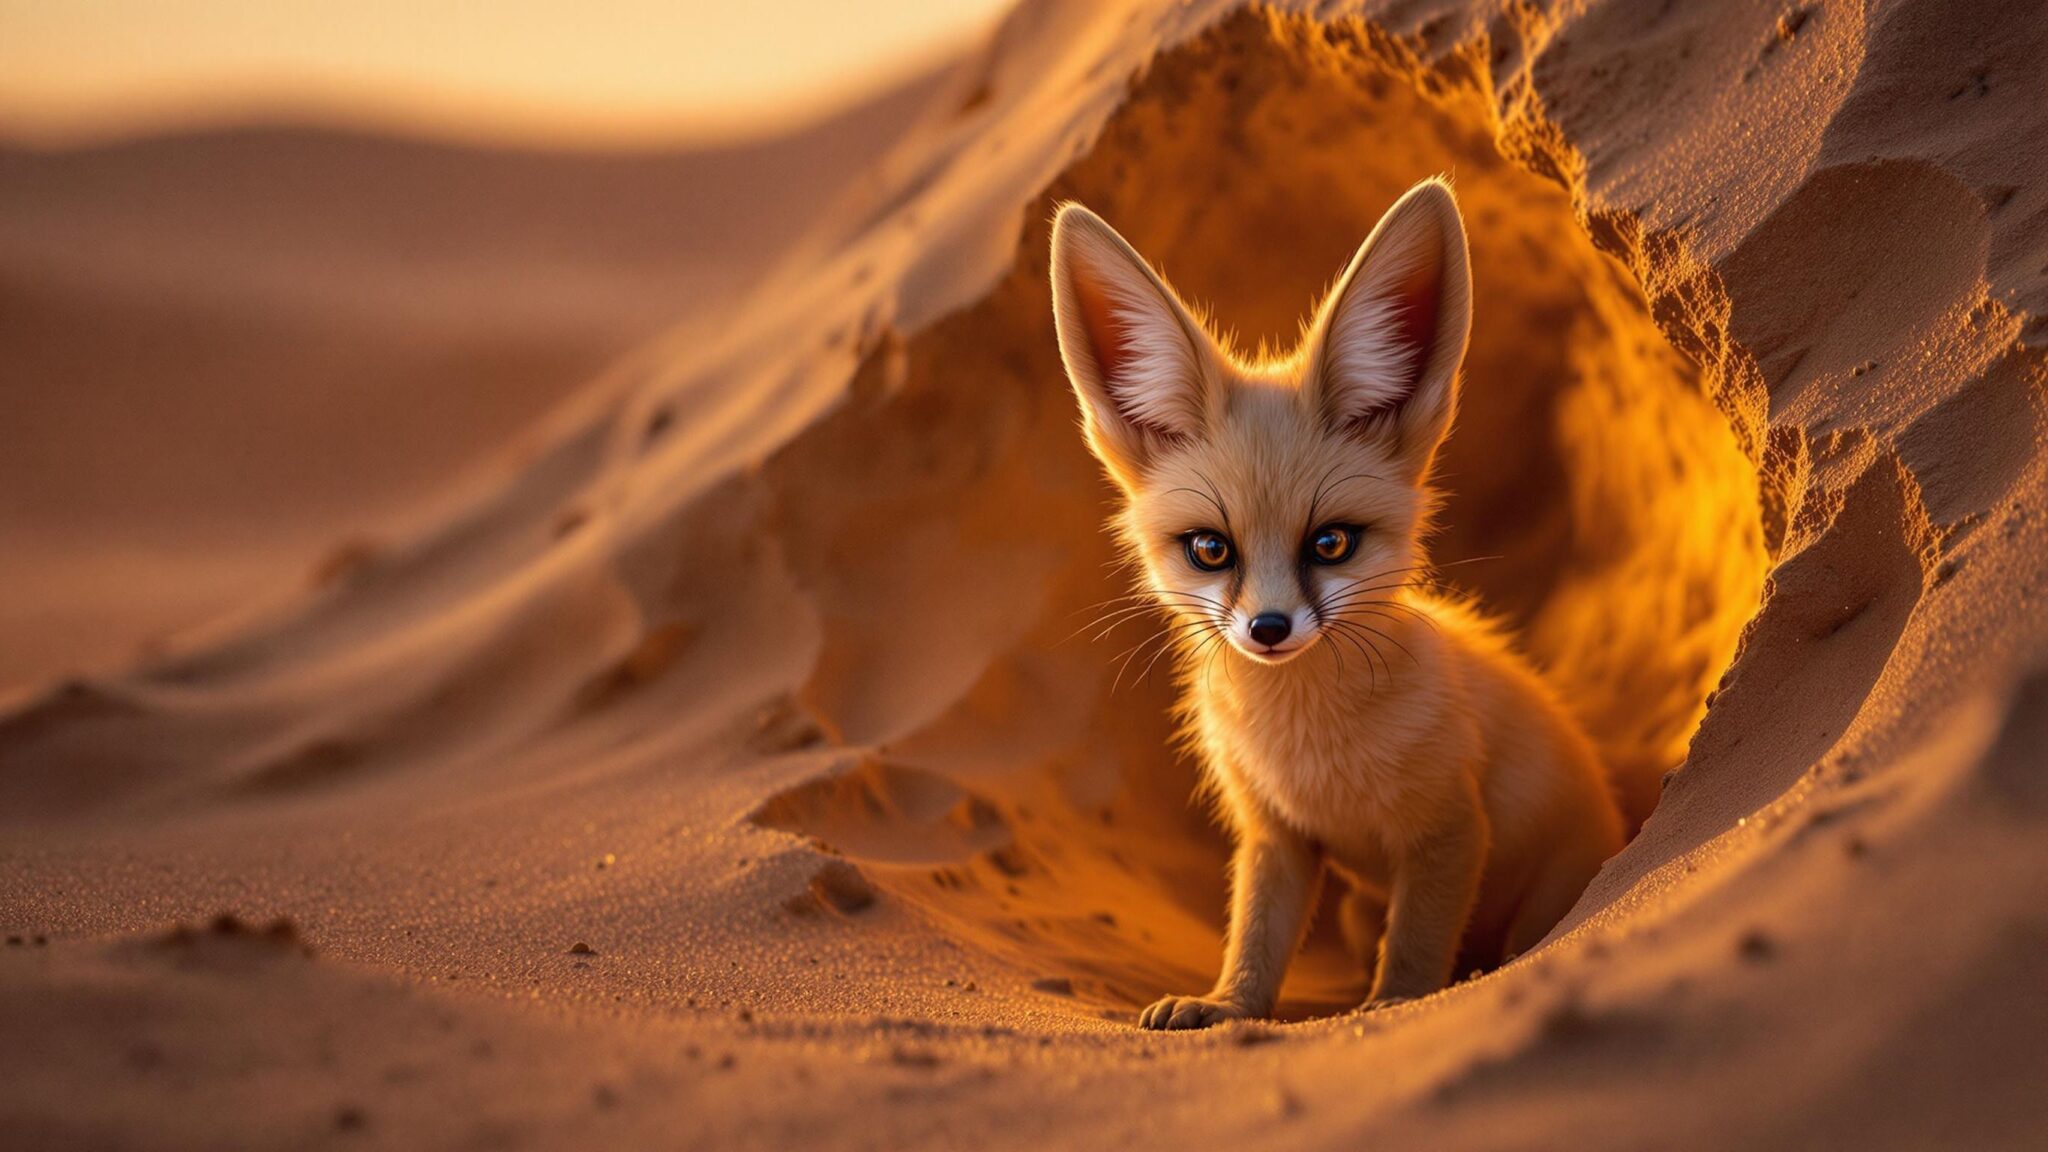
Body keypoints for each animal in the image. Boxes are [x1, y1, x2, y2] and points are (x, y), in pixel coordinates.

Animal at [1048, 178, 1626, 1030]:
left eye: (1330, 544)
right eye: (1211, 549)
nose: (1268, 629)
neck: (1310, 749)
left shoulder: (1450, 830)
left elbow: (1416, 948)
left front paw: (1396, 1006)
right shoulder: (1275, 837)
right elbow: (1256, 938)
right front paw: (1225, 1005)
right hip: (1355, 912)